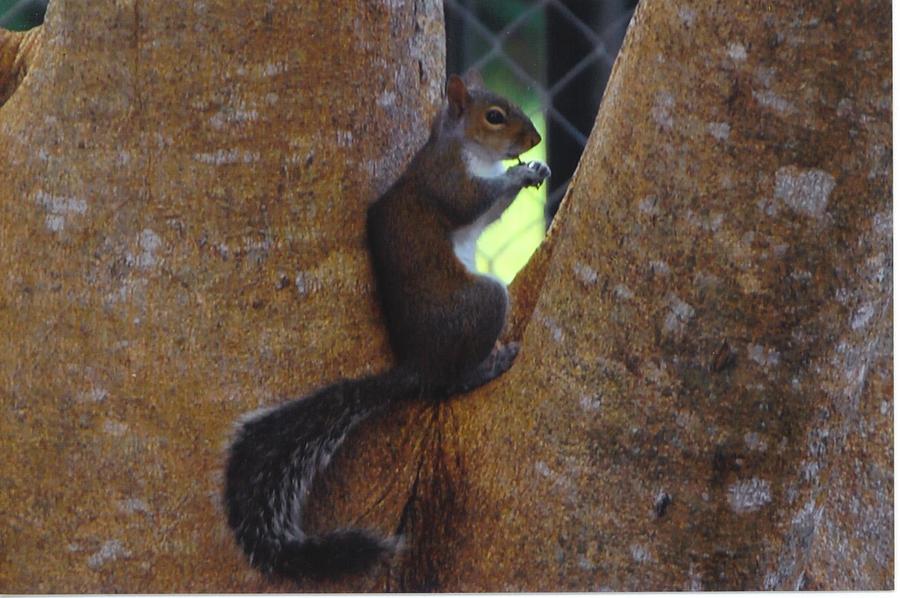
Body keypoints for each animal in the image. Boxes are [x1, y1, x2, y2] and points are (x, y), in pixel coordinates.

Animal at [223, 71, 550, 582]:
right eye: (495, 116)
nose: (534, 139)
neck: (463, 148)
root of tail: (418, 365)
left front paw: (536, 167)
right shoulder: (445, 181)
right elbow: (473, 203)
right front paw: (520, 173)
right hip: (483, 305)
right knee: (450, 384)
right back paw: (488, 365)